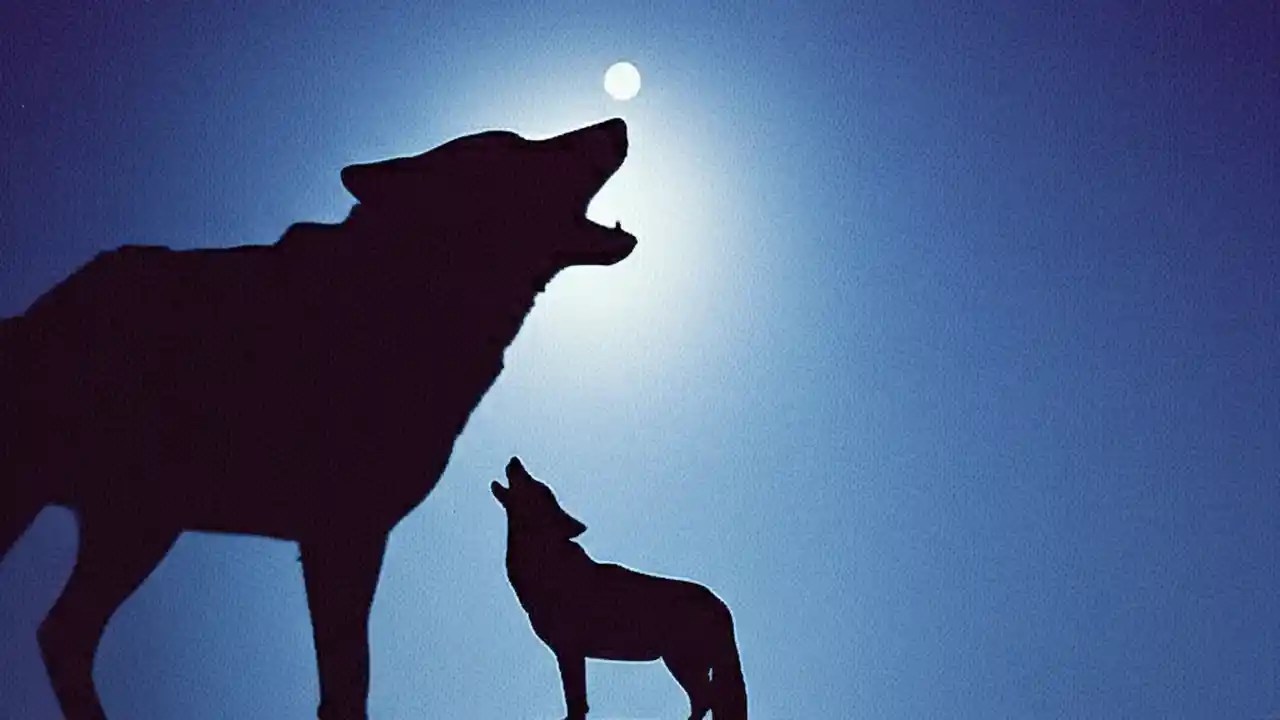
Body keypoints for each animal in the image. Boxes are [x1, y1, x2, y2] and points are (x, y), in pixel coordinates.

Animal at [0, 118, 635, 720]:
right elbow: (349, 683)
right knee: (62, 632)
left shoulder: (346, 535)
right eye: (515, 147)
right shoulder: (345, 531)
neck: (410, 295)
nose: (618, 125)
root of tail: (32, 316)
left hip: (138, 529)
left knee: (62, 634)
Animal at [492, 457, 748, 720]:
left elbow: (575, 703)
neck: (544, 562)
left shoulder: (569, 650)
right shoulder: (571, 652)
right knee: (706, 700)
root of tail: (722, 606)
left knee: (708, 699)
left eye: (539, 487)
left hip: (680, 661)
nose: (514, 460)